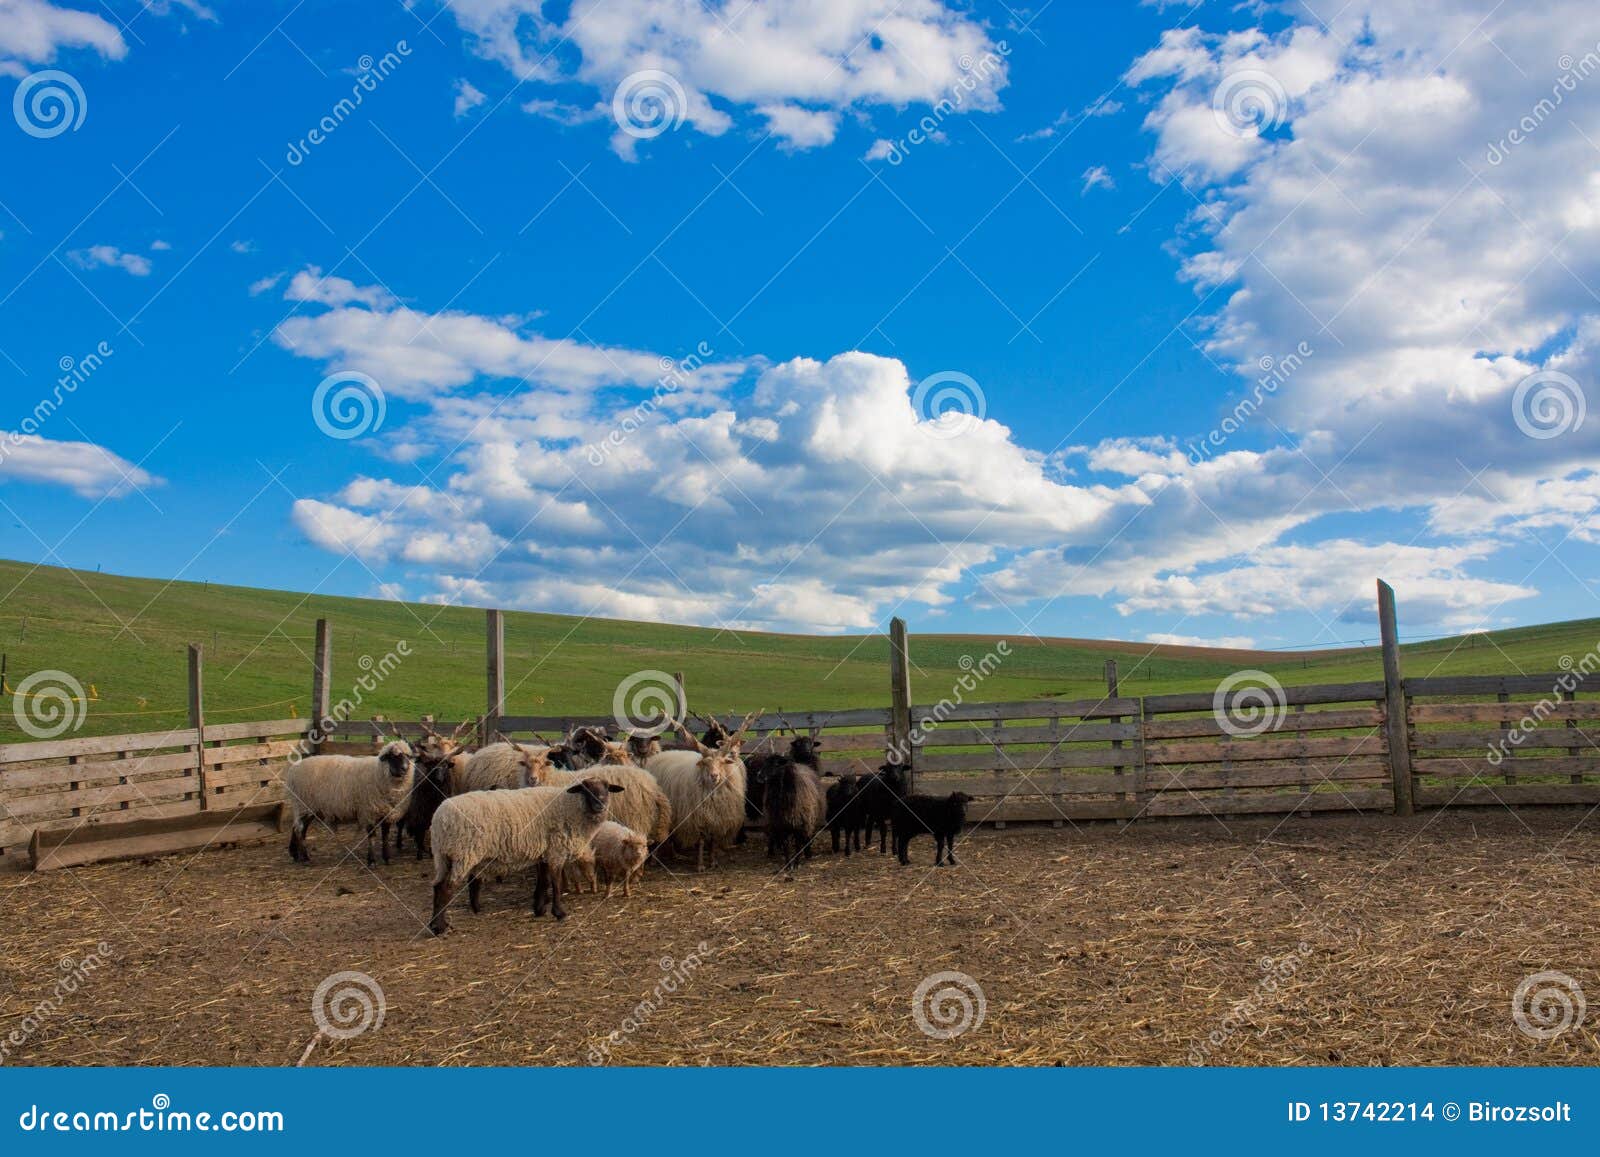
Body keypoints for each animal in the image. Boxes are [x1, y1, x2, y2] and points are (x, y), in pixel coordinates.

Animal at [282, 741, 416, 866]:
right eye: (392, 756)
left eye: (407, 756)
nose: (405, 768)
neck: (378, 773)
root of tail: (292, 770)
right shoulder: (368, 811)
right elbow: (371, 836)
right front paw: (371, 861)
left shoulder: (387, 812)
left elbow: (385, 836)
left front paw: (386, 858)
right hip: (303, 805)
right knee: (299, 829)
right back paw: (305, 857)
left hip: (307, 808)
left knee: (298, 828)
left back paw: (295, 854)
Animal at [428, 777, 624, 933]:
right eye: (585, 788)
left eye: (607, 788)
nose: (600, 805)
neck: (571, 806)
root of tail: (439, 819)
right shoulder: (556, 851)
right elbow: (556, 883)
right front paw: (559, 913)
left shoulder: (545, 852)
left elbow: (543, 881)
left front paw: (539, 909)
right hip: (463, 853)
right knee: (446, 888)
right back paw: (440, 927)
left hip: (444, 856)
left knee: (437, 886)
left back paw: (439, 923)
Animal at [645, 712, 759, 871]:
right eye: (705, 763)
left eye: (722, 762)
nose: (714, 775)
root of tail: (656, 757)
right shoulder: (697, 818)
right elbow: (701, 841)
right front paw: (700, 865)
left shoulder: (718, 817)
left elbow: (714, 840)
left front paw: (713, 861)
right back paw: (655, 859)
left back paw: (673, 855)